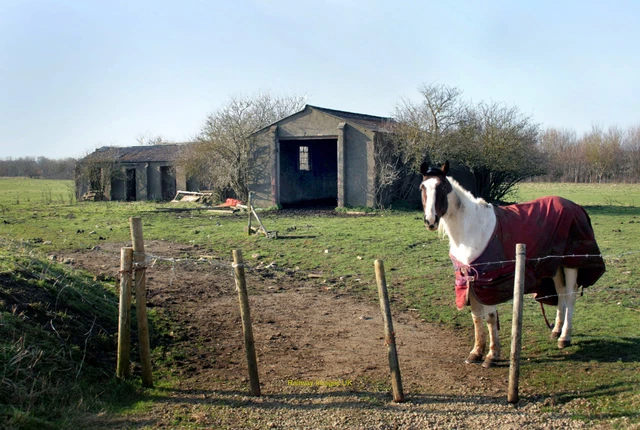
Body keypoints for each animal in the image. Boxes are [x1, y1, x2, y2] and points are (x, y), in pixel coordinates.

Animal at [419, 161, 606, 368]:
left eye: (442, 187)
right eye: (422, 188)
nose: (430, 221)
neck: (471, 229)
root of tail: (577, 207)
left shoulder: (487, 282)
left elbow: (490, 318)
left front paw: (492, 355)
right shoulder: (470, 280)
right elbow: (476, 316)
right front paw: (476, 352)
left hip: (571, 263)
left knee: (570, 295)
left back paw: (564, 337)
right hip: (555, 266)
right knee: (561, 292)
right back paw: (556, 330)